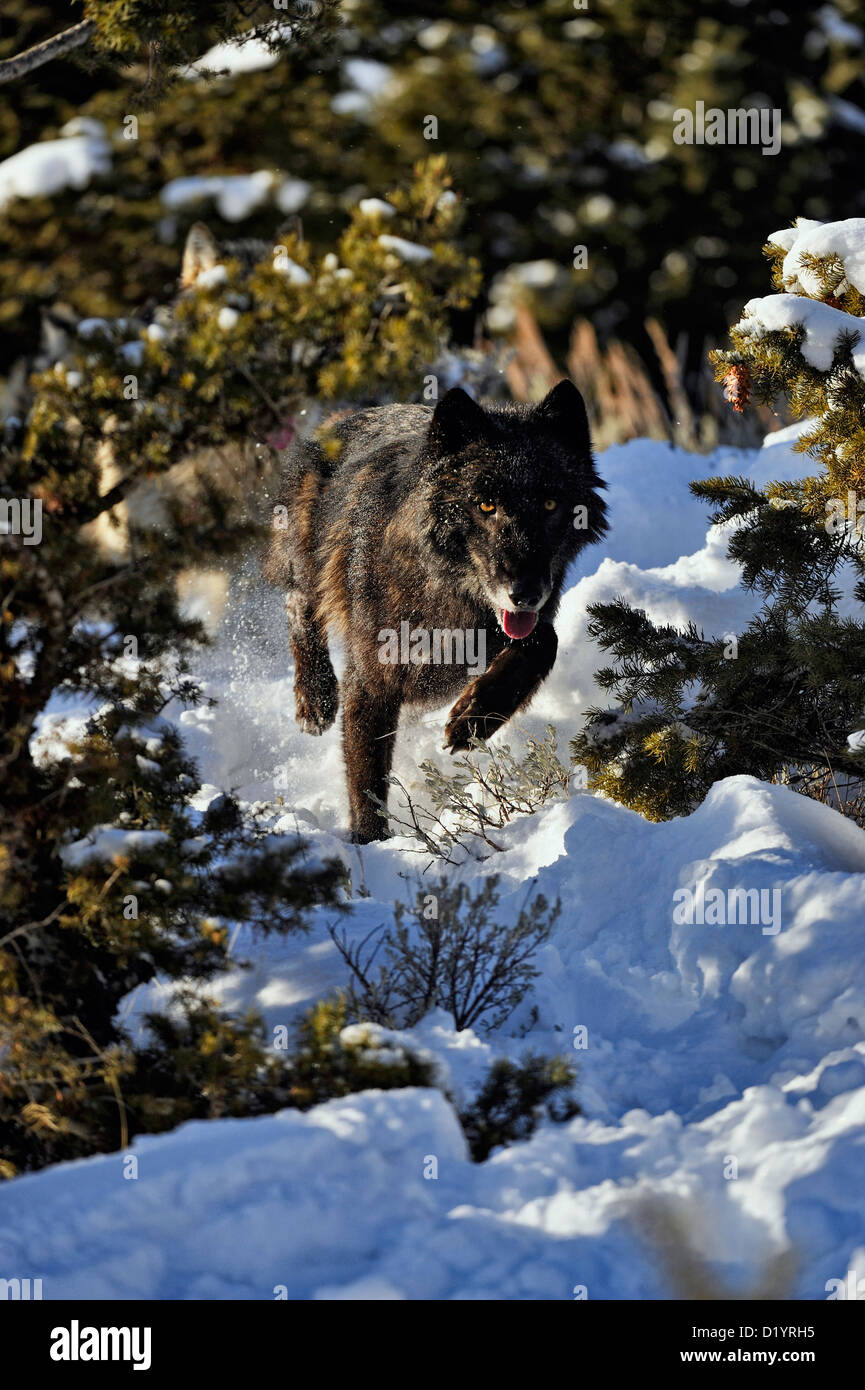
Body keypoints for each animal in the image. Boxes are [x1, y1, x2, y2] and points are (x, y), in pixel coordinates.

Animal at [265, 380, 607, 842]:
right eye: (485, 506)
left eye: (551, 504)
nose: (525, 593)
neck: (445, 588)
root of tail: (339, 420)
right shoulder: (371, 677)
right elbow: (366, 778)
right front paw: (370, 846)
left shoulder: (520, 626)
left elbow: (543, 641)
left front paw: (473, 719)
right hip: (304, 554)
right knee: (298, 603)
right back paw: (314, 698)